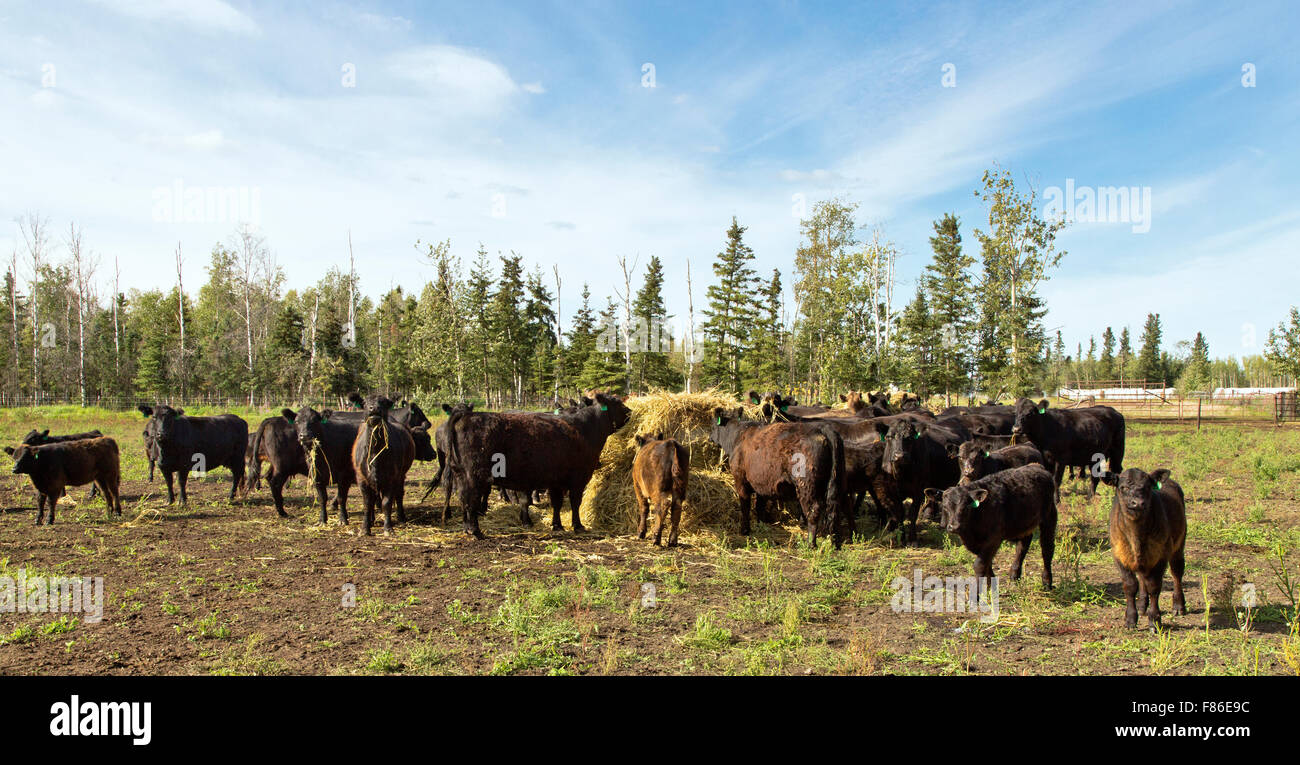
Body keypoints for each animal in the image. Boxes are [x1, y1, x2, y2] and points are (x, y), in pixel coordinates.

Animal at [443, 393, 631, 538]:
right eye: (617, 402)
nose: (630, 411)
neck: (585, 428)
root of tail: (466, 416)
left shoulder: (556, 481)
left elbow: (557, 503)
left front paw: (557, 525)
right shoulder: (578, 477)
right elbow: (575, 502)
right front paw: (578, 526)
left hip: (460, 474)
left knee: (463, 498)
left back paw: (467, 528)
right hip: (474, 476)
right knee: (471, 500)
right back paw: (475, 531)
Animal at [709, 408, 850, 549]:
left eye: (712, 425)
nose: (709, 437)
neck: (737, 436)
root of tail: (822, 428)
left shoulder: (741, 481)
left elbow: (745, 506)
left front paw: (745, 530)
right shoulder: (761, 484)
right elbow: (760, 506)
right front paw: (761, 525)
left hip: (807, 486)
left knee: (813, 511)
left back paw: (810, 544)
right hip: (834, 485)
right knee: (834, 511)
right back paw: (834, 542)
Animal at [924, 463, 1057, 589]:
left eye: (966, 507)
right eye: (945, 506)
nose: (955, 527)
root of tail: (1037, 466)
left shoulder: (994, 539)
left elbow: (980, 565)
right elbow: (987, 564)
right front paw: (992, 586)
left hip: (1049, 517)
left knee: (1047, 548)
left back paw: (1047, 582)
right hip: (1023, 524)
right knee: (1023, 545)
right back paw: (1014, 575)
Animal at [1103, 467, 1186, 630]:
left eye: (1147, 487)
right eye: (1123, 487)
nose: (1138, 503)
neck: (1136, 538)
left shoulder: (1161, 555)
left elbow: (1154, 586)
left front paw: (1154, 620)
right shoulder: (1119, 555)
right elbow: (1130, 585)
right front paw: (1130, 619)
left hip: (1179, 545)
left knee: (1177, 573)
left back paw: (1179, 606)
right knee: (1142, 576)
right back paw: (1142, 605)